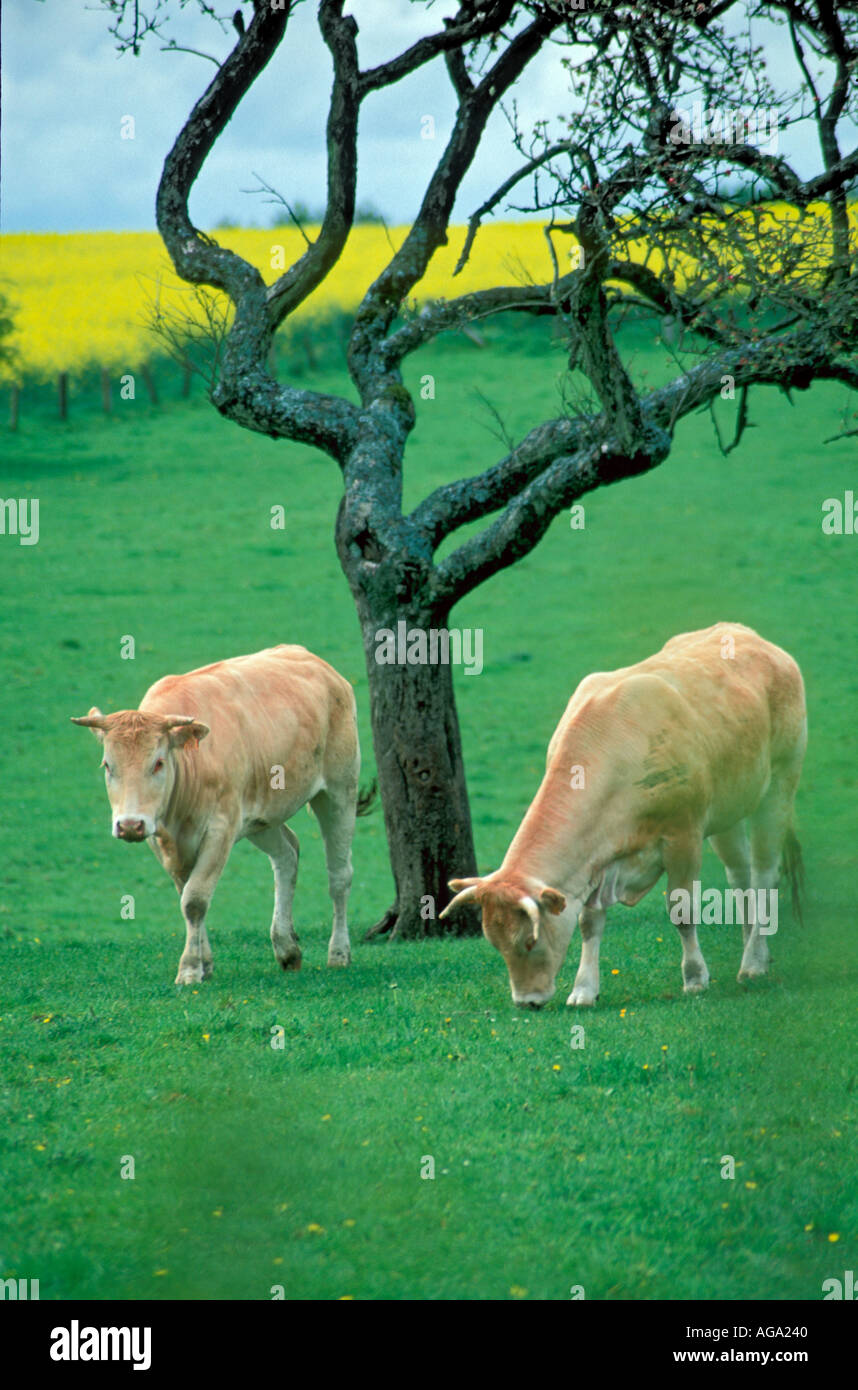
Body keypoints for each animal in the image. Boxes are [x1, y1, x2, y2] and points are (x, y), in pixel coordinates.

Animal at [72, 645, 372, 984]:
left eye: (158, 762)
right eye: (108, 765)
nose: (130, 825)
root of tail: (314, 661)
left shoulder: (221, 829)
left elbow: (195, 899)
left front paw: (190, 968)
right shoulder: (161, 838)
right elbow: (186, 896)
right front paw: (206, 964)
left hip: (339, 790)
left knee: (339, 875)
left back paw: (339, 953)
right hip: (261, 816)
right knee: (287, 855)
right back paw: (287, 948)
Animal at [440, 623, 806, 1009]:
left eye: (529, 940)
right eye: (495, 943)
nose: (527, 1000)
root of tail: (749, 635)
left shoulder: (683, 837)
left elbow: (682, 910)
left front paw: (695, 977)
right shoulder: (597, 859)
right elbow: (589, 921)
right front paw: (584, 988)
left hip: (780, 783)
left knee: (764, 875)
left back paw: (753, 962)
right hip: (730, 811)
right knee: (741, 877)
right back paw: (756, 952)